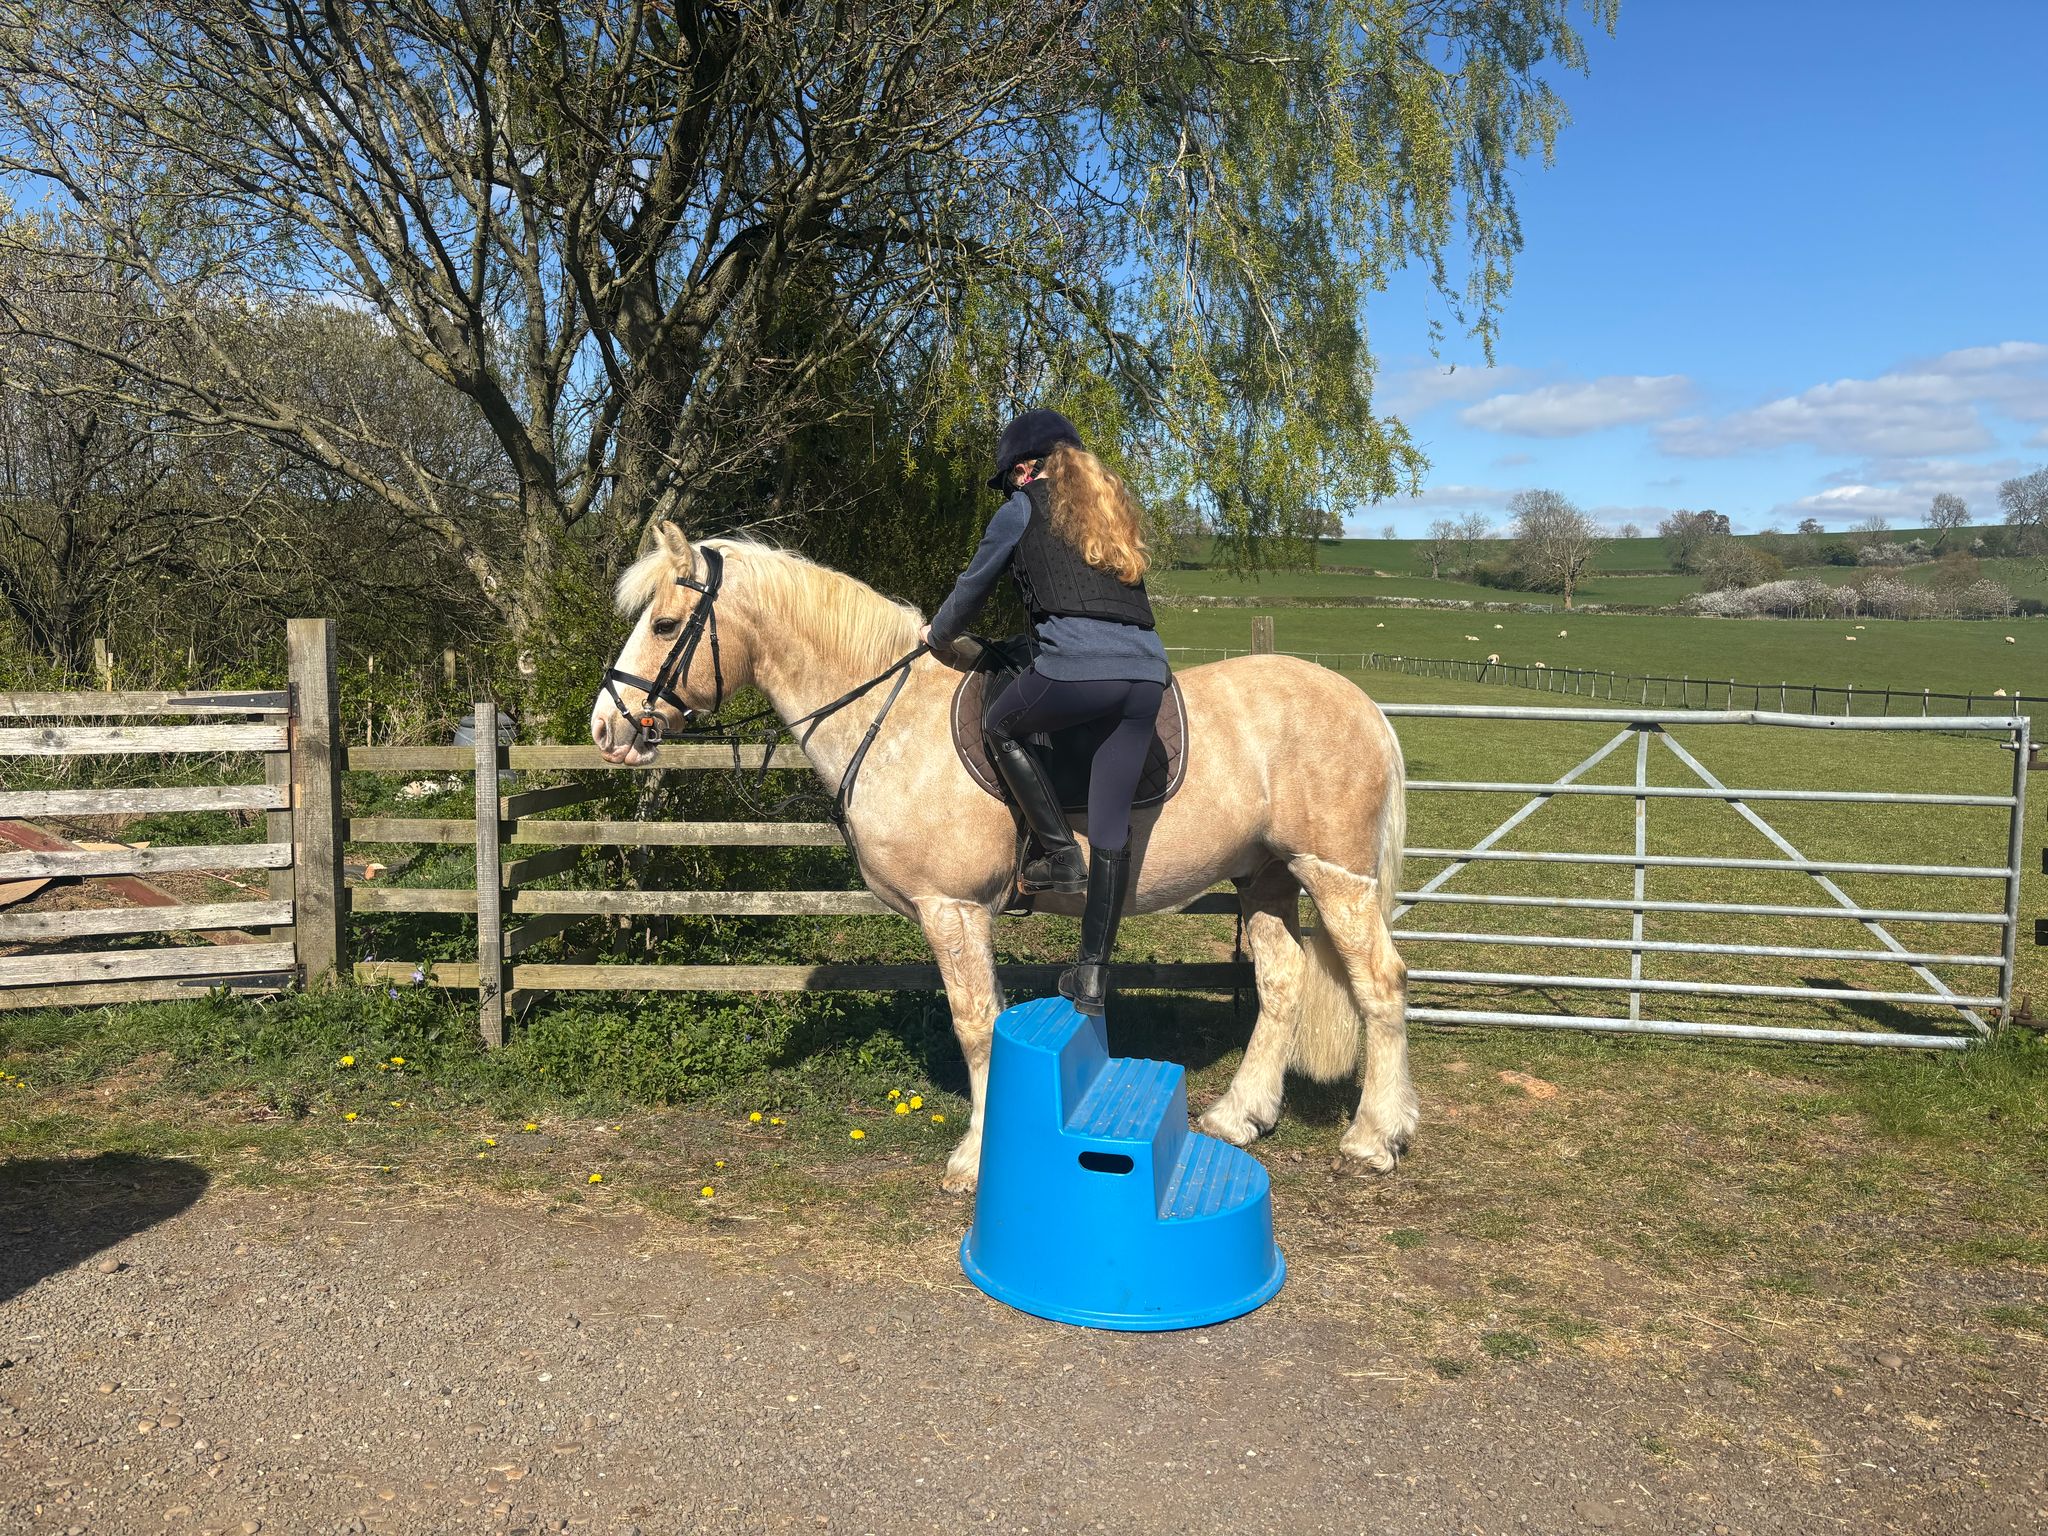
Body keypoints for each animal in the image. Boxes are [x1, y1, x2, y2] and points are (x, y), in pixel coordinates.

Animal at [590, 525, 1415, 1194]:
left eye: (665, 624)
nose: (607, 726)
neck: (893, 717)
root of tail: (1365, 707)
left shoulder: (953, 912)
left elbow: (977, 1025)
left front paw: (974, 1156)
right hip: (1266, 873)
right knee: (1281, 982)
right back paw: (1241, 1115)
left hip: (1333, 876)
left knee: (1380, 983)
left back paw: (1375, 1135)